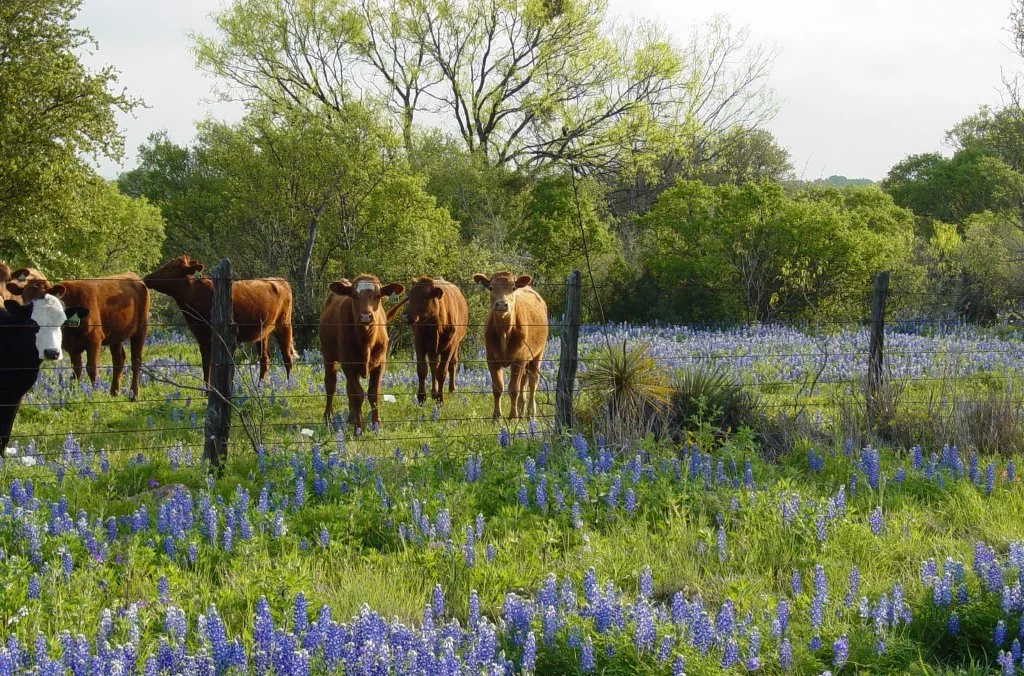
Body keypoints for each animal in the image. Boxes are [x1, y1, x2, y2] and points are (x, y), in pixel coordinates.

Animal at [9, 272, 150, 399]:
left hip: (141, 329)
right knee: (119, 360)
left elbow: (92, 368)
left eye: (43, 297)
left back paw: (134, 395)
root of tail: (135, 277)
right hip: (116, 337)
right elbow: (76, 371)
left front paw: (95, 395)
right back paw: (114, 392)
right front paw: (74, 394)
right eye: (23, 297)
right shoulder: (72, 346)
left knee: (136, 361)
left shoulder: (94, 339)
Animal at [143, 256, 297, 385]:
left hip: (284, 324)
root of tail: (281, 281)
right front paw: (206, 391)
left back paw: (289, 385)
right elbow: (206, 366)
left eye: (170, 269)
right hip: (262, 332)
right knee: (265, 358)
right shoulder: (203, 338)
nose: (146, 277)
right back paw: (261, 386)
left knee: (287, 356)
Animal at [319, 275, 405, 432]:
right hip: (328, 355)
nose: (365, 316)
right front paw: (359, 429)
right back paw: (328, 417)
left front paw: (377, 425)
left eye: (378, 295)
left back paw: (350, 417)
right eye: (354, 295)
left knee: (348, 388)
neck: (367, 341)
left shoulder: (380, 363)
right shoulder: (348, 363)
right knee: (330, 384)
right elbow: (357, 394)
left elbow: (373, 393)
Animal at [472, 272, 549, 421]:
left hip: (538, 354)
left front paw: (513, 417)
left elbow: (513, 389)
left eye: (513, 288)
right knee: (523, 383)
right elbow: (497, 388)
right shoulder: (492, 360)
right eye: (491, 287)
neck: (504, 332)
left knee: (532, 382)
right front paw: (497, 417)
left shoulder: (518, 360)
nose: (502, 304)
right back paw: (521, 409)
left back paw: (530, 414)